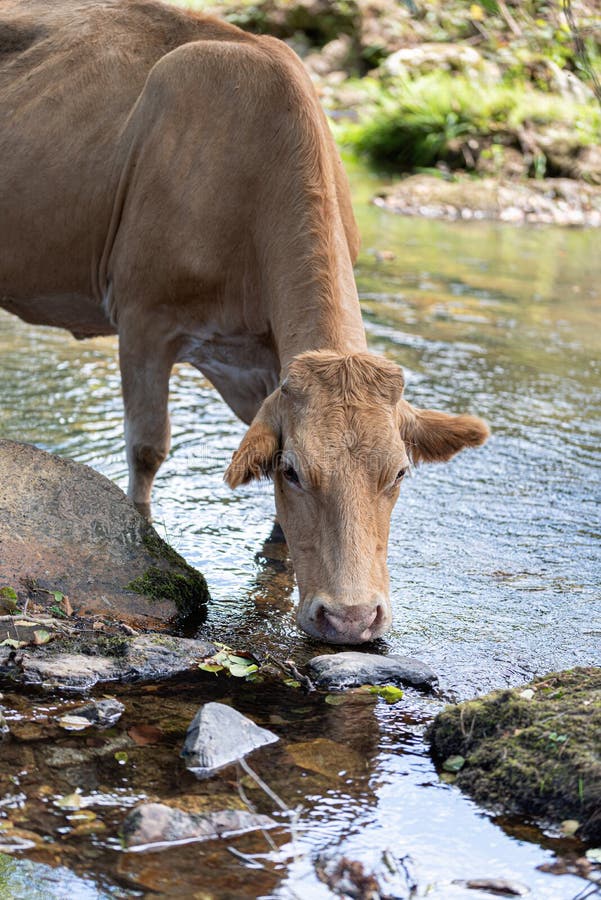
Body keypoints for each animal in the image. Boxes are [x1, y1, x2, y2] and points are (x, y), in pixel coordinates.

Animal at [0, 0, 489, 644]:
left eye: (401, 472)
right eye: (296, 471)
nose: (352, 619)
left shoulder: (259, 363)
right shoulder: (144, 319)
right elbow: (147, 448)